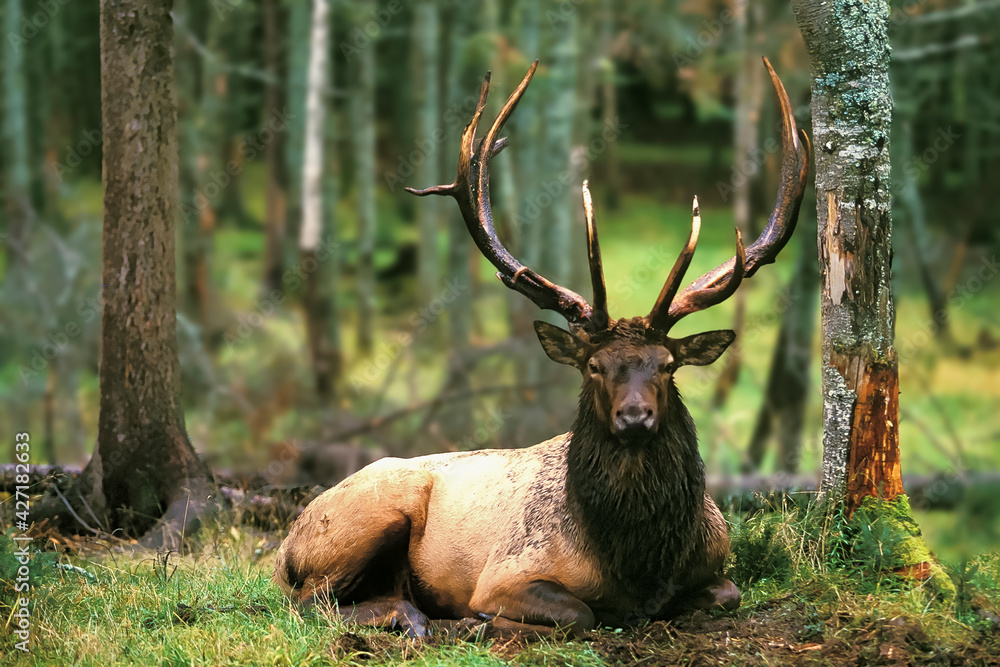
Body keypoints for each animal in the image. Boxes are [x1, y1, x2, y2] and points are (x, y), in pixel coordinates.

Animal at [274, 58, 810, 639]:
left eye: (667, 365)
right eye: (594, 366)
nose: (635, 417)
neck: (639, 565)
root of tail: (285, 546)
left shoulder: (715, 562)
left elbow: (729, 592)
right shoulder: (505, 572)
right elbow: (580, 612)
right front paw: (482, 620)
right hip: (365, 522)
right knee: (310, 602)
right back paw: (418, 618)